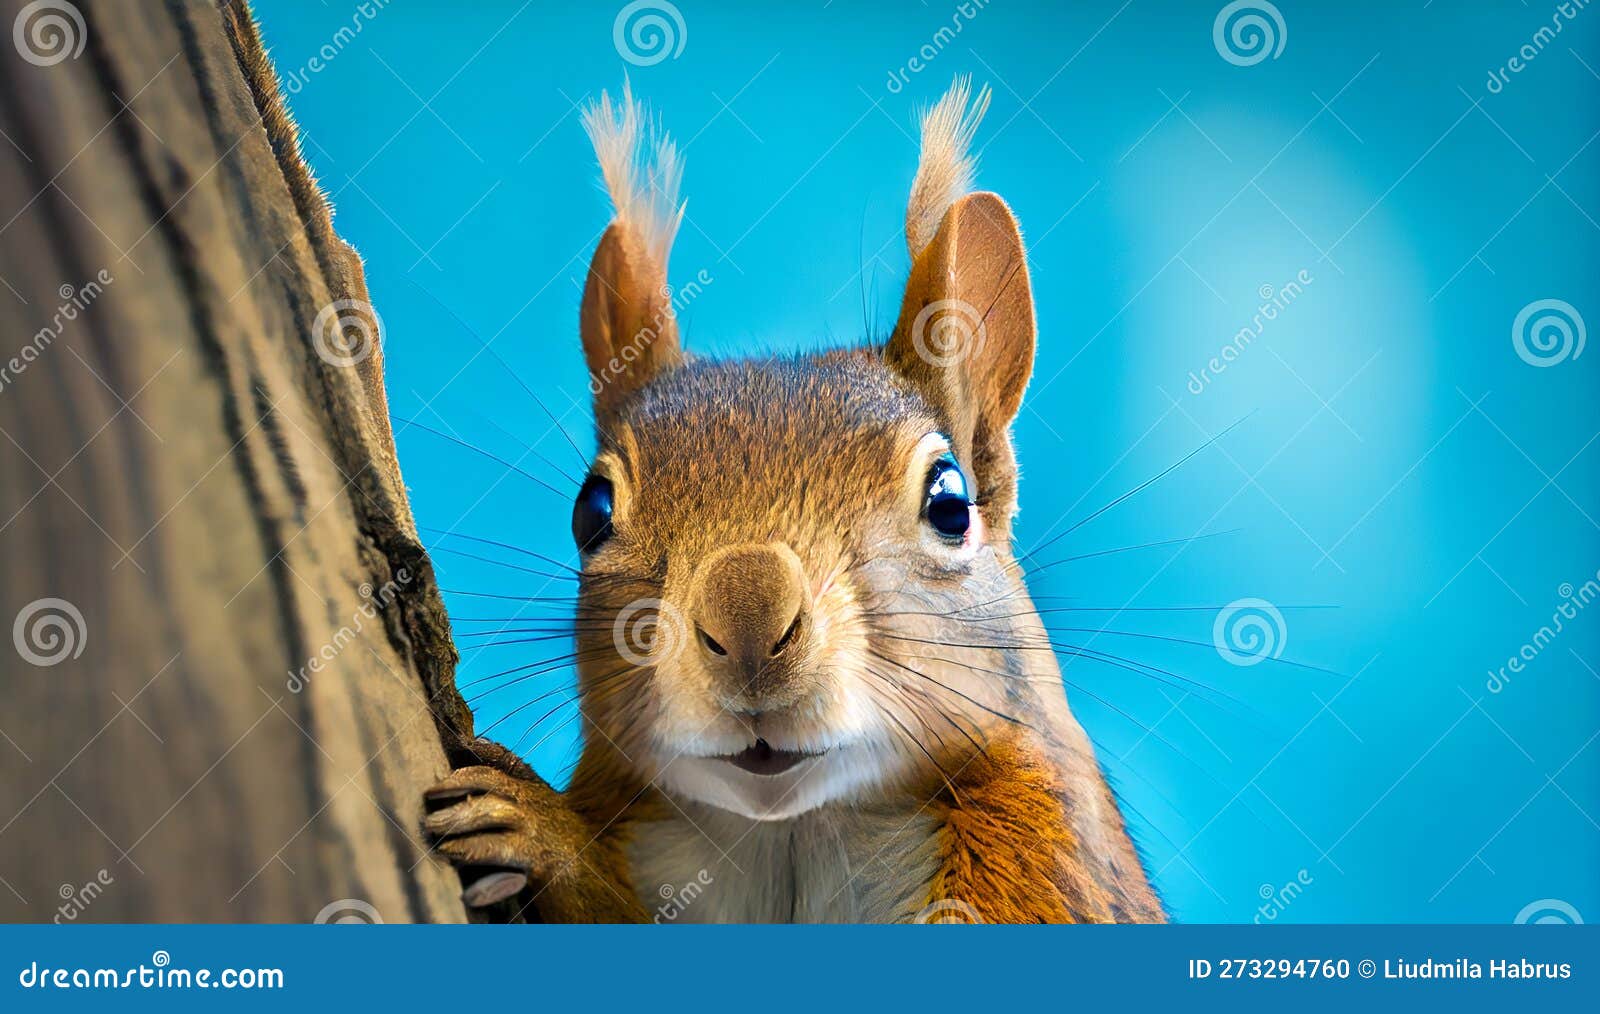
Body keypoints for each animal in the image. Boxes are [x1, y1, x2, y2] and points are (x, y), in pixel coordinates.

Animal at [422, 78, 1164, 924]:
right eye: (592, 512)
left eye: (950, 503)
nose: (748, 624)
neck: (794, 832)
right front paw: (538, 827)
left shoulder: (1052, 860)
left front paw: (544, 834)